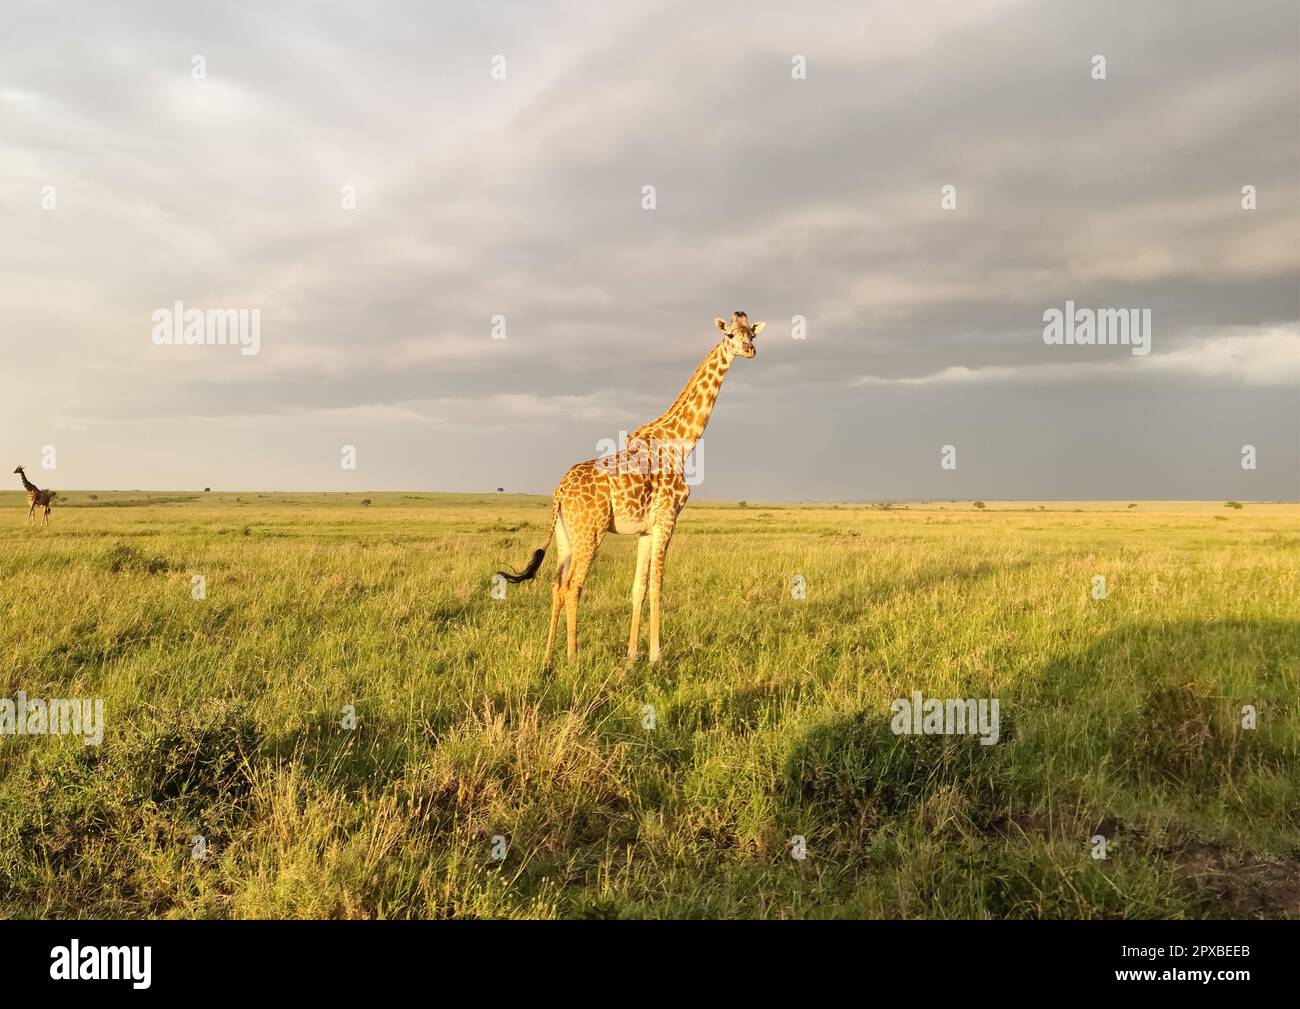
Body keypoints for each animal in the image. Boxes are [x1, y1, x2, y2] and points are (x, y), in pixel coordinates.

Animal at [497, 311, 763, 666]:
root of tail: (559, 493)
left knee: (556, 583)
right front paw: (656, 656)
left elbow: (639, 588)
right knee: (573, 585)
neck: (680, 443)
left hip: (566, 535)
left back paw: (547, 656)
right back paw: (572, 656)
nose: (750, 350)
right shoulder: (667, 520)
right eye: (731, 335)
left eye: (752, 334)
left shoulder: (645, 530)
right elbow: (658, 587)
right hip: (591, 532)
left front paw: (633, 654)